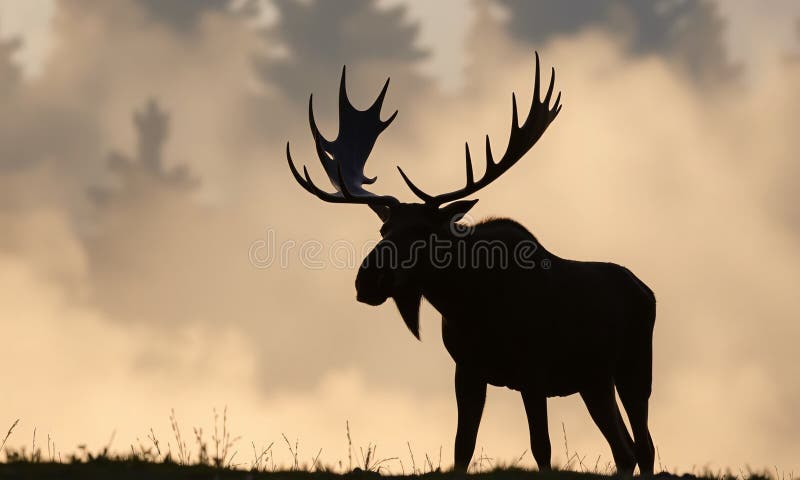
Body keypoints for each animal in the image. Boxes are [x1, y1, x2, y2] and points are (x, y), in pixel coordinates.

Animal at [285, 53, 656, 475]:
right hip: (594, 381)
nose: (368, 279)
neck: (472, 307)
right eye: (384, 228)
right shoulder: (467, 370)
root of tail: (647, 291)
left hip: (634, 369)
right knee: (624, 451)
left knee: (644, 447)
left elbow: (542, 448)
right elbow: (462, 446)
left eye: (425, 231)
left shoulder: (533, 370)